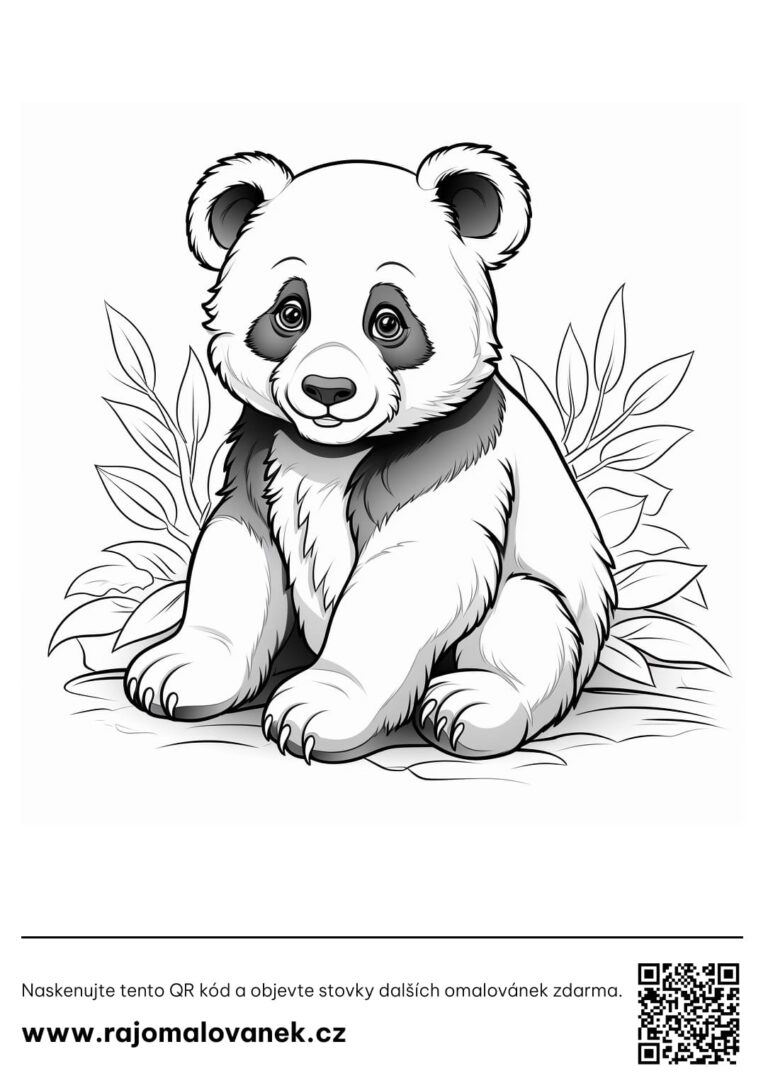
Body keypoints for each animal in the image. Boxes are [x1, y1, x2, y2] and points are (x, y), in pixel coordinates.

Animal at [125, 143, 616, 763]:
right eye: (290, 312)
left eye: (387, 320)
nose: (329, 389)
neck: (331, 452)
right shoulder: (259, 455)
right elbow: (239, 553)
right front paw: (181, 670)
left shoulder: (457, 456)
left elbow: (409, 577)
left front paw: (316, 711)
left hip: (546, 599)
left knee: (528, 622)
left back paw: (471, 704)